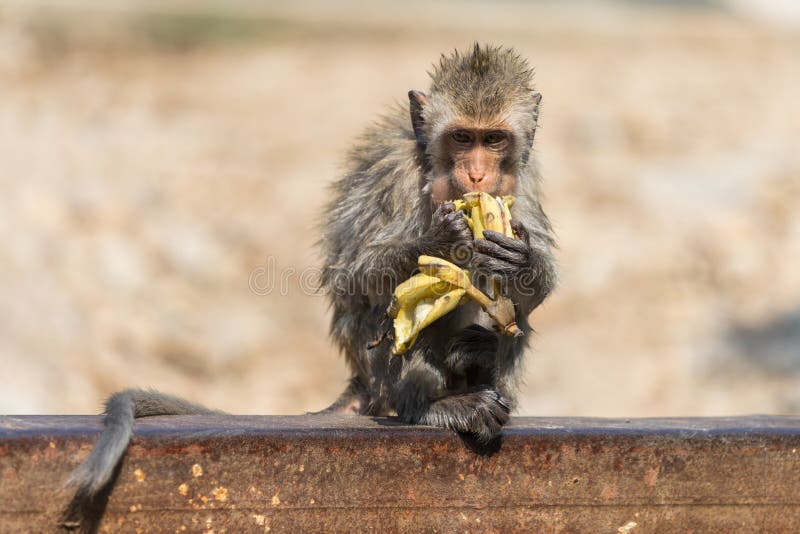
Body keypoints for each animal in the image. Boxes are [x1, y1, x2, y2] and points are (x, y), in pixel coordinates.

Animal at [59, 43, 556, 531]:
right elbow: (357, 277)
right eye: (462, 139)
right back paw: (429, 404)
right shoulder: (395, 178)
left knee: (512, 322)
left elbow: (535, 288)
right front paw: (437, 239)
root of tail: (363, 380)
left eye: (493, 140)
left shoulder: (522, 183)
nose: (477, 176)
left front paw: (519, 259)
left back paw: (478, 358)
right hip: (378, 369)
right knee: (387, 320)